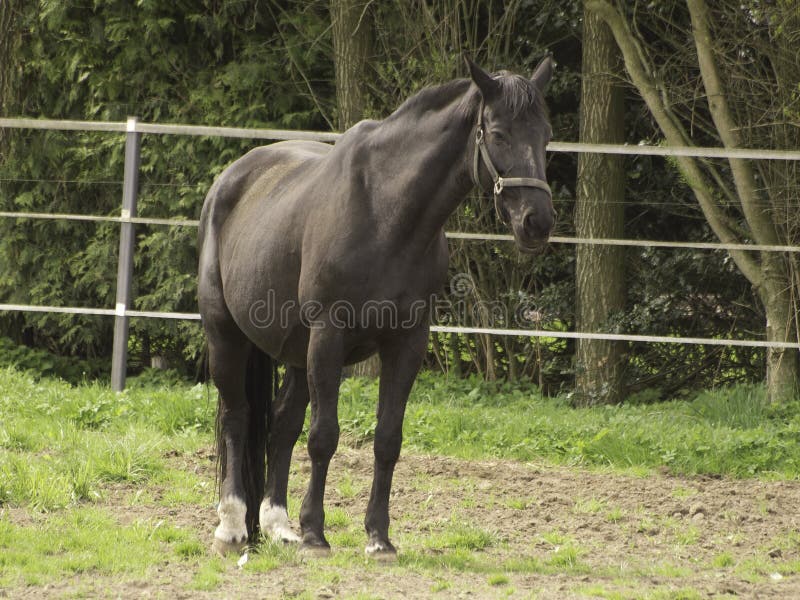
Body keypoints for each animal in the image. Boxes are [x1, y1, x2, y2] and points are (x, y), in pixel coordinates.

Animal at [197, 56, 556, 560]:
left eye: (545, 136)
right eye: (500, 133)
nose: (536, 222)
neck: (387, 213)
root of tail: (229, 181)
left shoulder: (407, 343)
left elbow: (387, 439)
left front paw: (378, 537)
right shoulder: (329, 336)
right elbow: (323, 436)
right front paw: (316, 534)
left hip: (295, 352)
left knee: (281, 426)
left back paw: (278, 525)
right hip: (226, 335)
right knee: (237, 417)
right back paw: (232, 527)